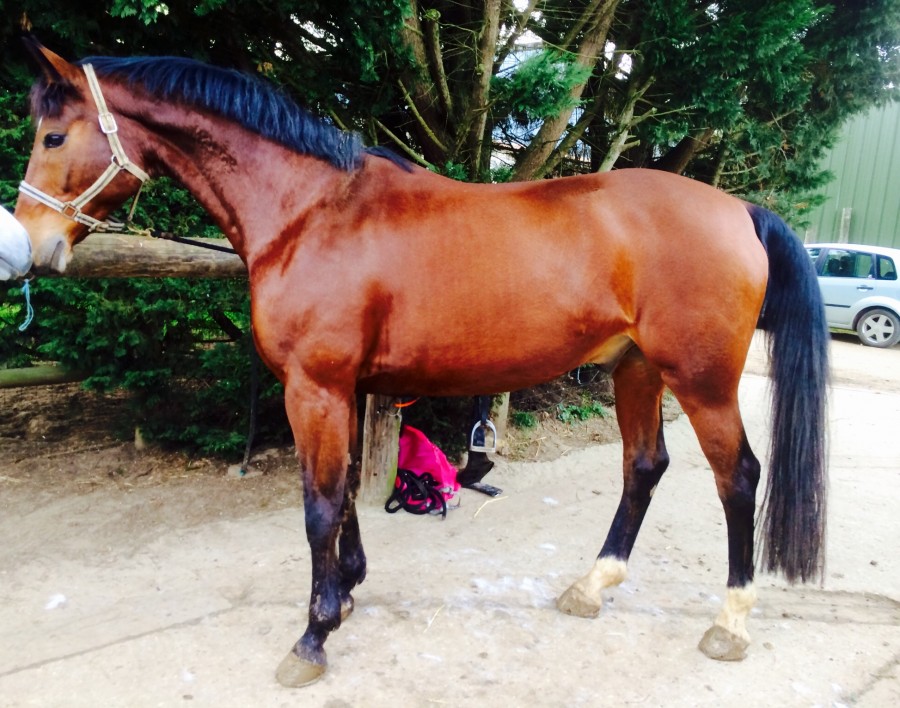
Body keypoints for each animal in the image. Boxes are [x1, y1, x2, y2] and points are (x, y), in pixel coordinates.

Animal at [9, 40, 828, 687]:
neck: (311, 210)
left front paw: (313, 635)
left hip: (701, 381)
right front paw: (346, 593)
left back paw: (730, 622)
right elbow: (343, 497)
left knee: (737, 477)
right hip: (635, 369)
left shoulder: (314, 389)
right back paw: (592, 586)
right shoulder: (345, 390)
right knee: (644, 467)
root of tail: (739, 209)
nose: (29, 245)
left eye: (52, 136)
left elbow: (316, 506)